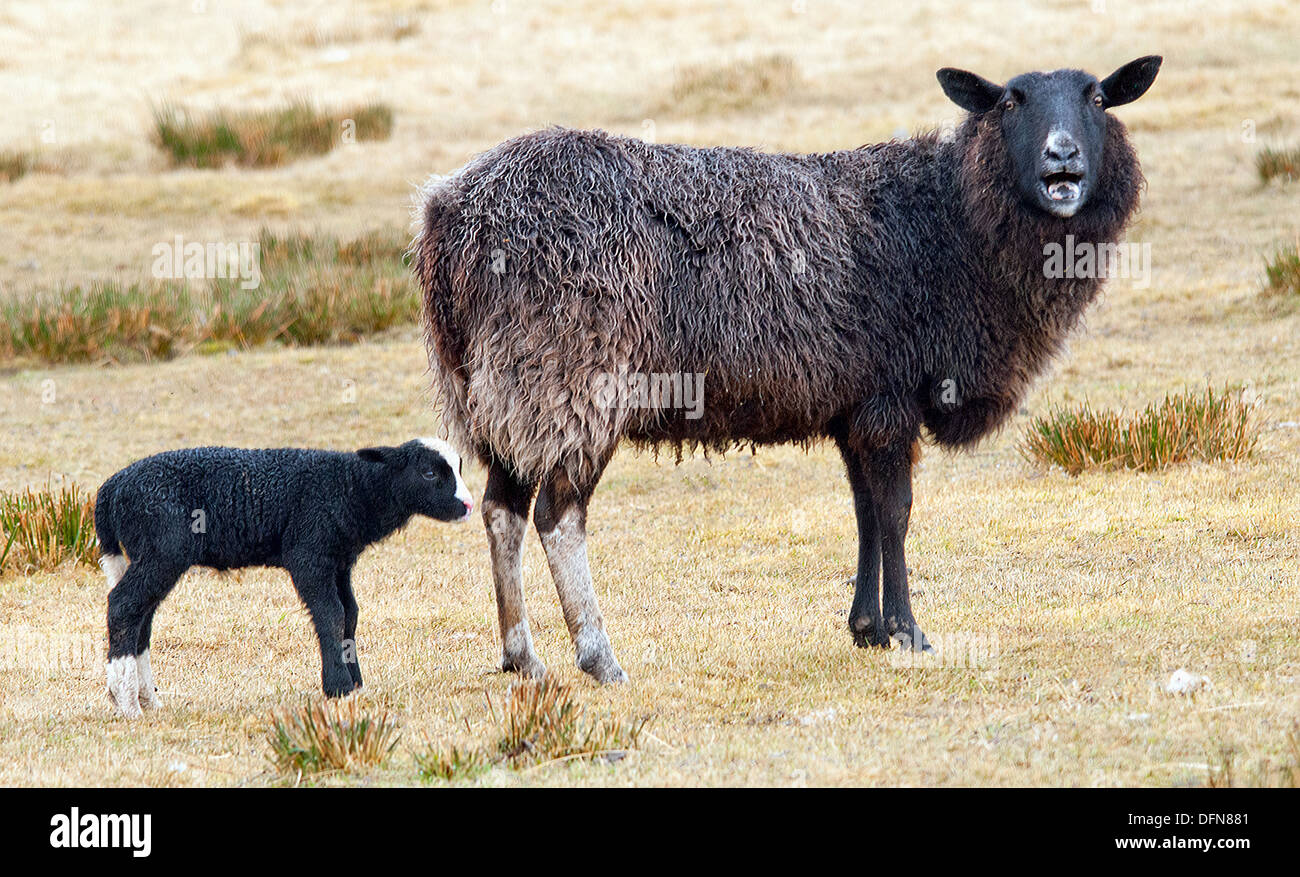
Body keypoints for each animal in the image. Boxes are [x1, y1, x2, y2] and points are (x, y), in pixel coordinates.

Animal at [96, 439, 473, 717]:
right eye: (429, 473)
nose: (468, 506)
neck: (350, 488)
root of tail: (111, 487)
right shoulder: (308, 555)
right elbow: (331, 616)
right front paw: (338, 687)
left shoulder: (339, 562)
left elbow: (350, 615)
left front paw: (355, 684)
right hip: (163, 548)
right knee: (123, 605)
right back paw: (127, 702)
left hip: (151, 555)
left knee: (141, 618)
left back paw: (146, 699)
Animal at [411, 56, 1162, 683]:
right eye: (1010, 100)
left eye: (1097, 98)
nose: (1061, 156)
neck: (952, 220)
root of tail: (450, 219)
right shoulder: (888, 400)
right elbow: (897, 512)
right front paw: (909, 632)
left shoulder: (854, 407)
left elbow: (866, 510)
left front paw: (868, 628)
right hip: (570, 382)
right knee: (556, 516)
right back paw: (599, 656)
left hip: (501, 393)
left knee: (502, 510)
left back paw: (523, 657)